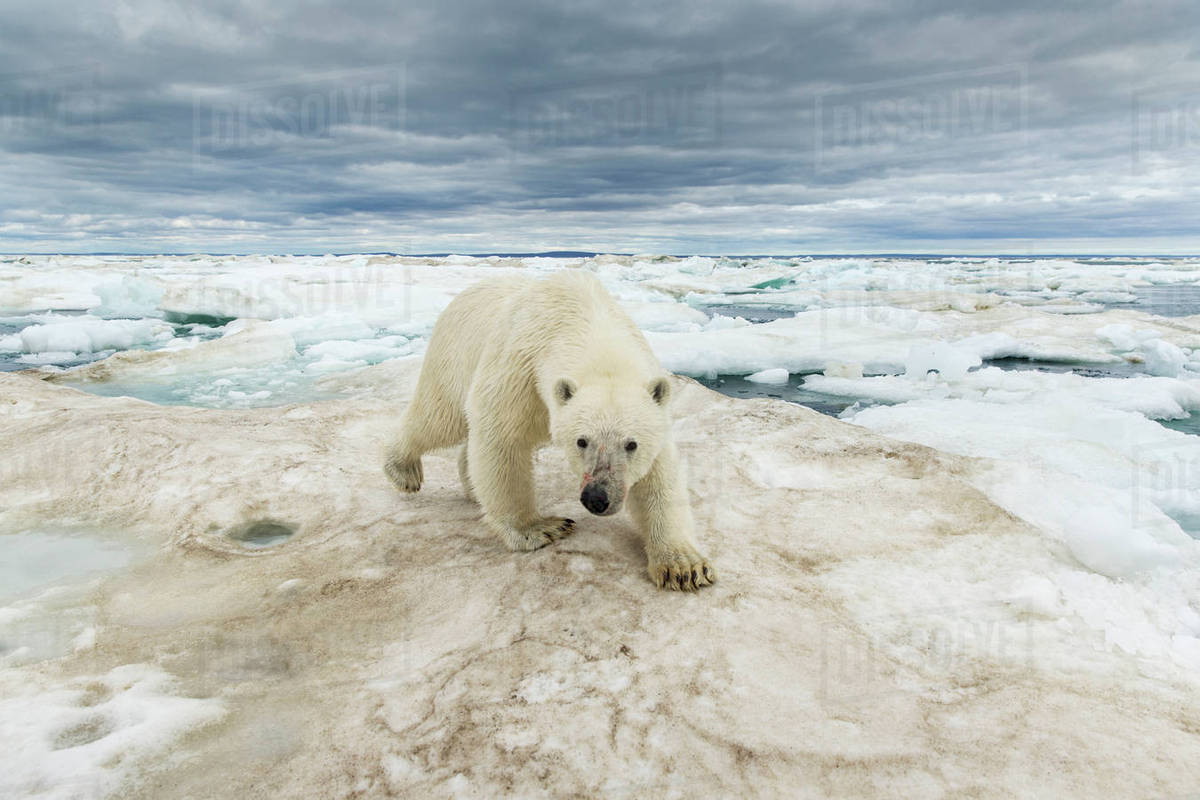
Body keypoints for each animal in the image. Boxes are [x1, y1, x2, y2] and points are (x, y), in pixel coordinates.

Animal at [384, 270, 715, 591]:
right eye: (582, 441)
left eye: (631, 444)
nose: (597, 498)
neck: (587, 321)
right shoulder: (520, 369)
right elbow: (502, 439)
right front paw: (539, 528)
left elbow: (658, 475)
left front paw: (683, 566)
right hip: (453, 357)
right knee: (438, 418)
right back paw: (403, 469)